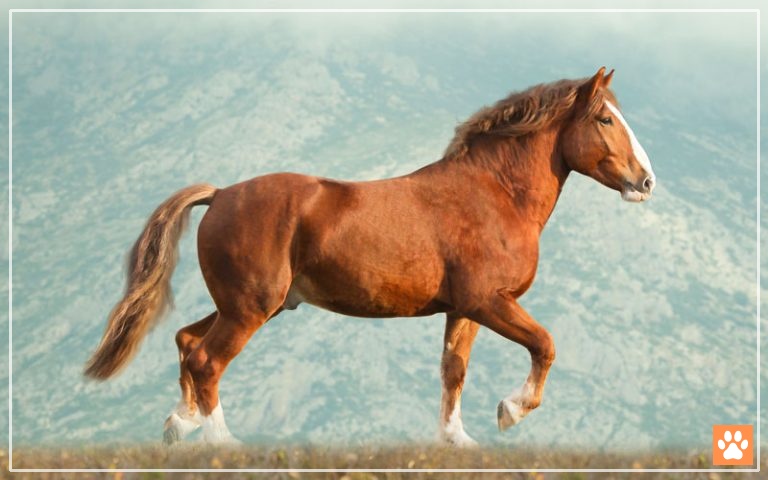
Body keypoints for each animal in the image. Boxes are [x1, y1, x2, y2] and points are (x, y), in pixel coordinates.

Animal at [84, 67, 655, 447]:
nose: (646, 181)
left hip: (252, 305)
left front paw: (457, 441)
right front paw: (511, 411)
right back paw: (223, 444)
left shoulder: (463, 310)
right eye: (605, 119)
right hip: (249, 309)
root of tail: (221, 194)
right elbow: (545, 345)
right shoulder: (488, 301)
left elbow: (453, 371)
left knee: (186, 341)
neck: (494, 194)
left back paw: (180, 424)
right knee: (207, 361)